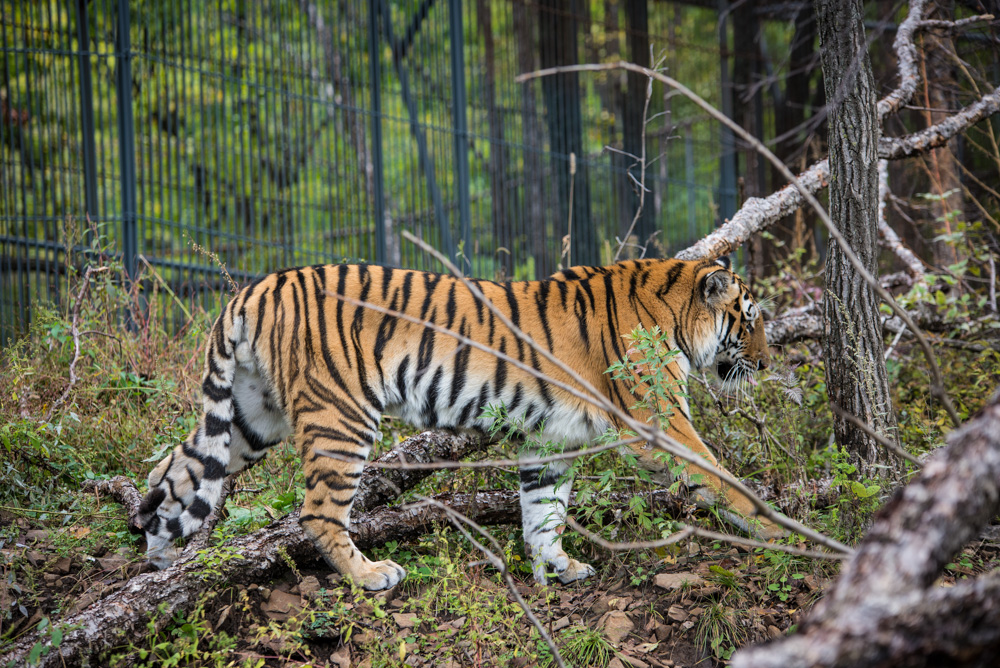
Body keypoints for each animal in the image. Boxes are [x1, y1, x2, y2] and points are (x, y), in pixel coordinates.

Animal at [139, 256, 780, 588]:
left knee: (171, 472)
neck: (675, 309)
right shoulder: (658, 423)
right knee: (318, 512)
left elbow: (543, 512)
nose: (770, 362)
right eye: (750, 320)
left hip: (251, 417)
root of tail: (256, 288)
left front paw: (557, 566)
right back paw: (371, 575)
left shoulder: (550, 440)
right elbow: (722, 479)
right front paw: (783, 534)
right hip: (341, 416)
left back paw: (159, 566)